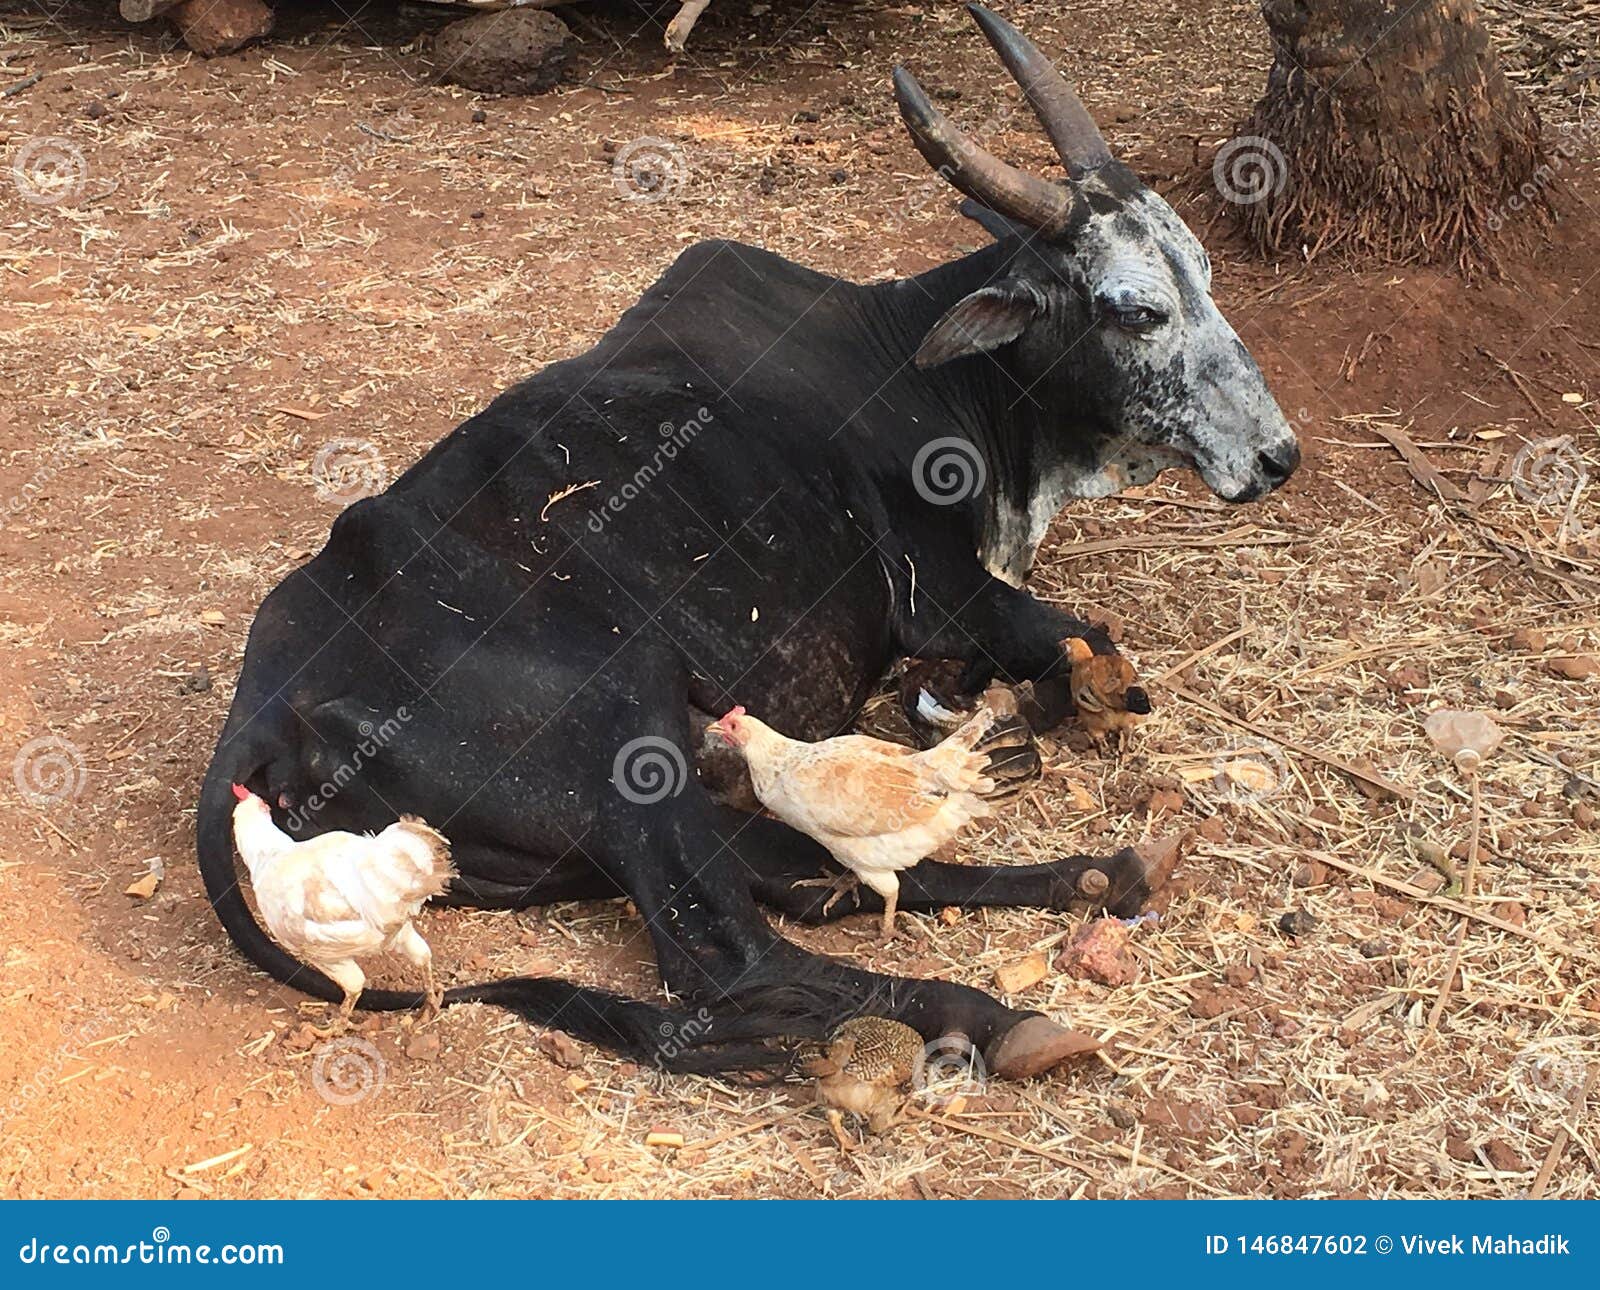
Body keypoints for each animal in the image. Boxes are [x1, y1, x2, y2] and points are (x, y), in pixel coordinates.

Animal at [197, 5, 1298, 1081]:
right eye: (1136, 309)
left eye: (1204, 274)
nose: (1276, 454)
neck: (920, 362)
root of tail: (269, 705)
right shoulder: (944, 594)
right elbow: (1090, 649)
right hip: (626, 734)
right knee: (731, 960)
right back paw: (987, 1014)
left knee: (800, 878)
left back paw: (1100, 873)